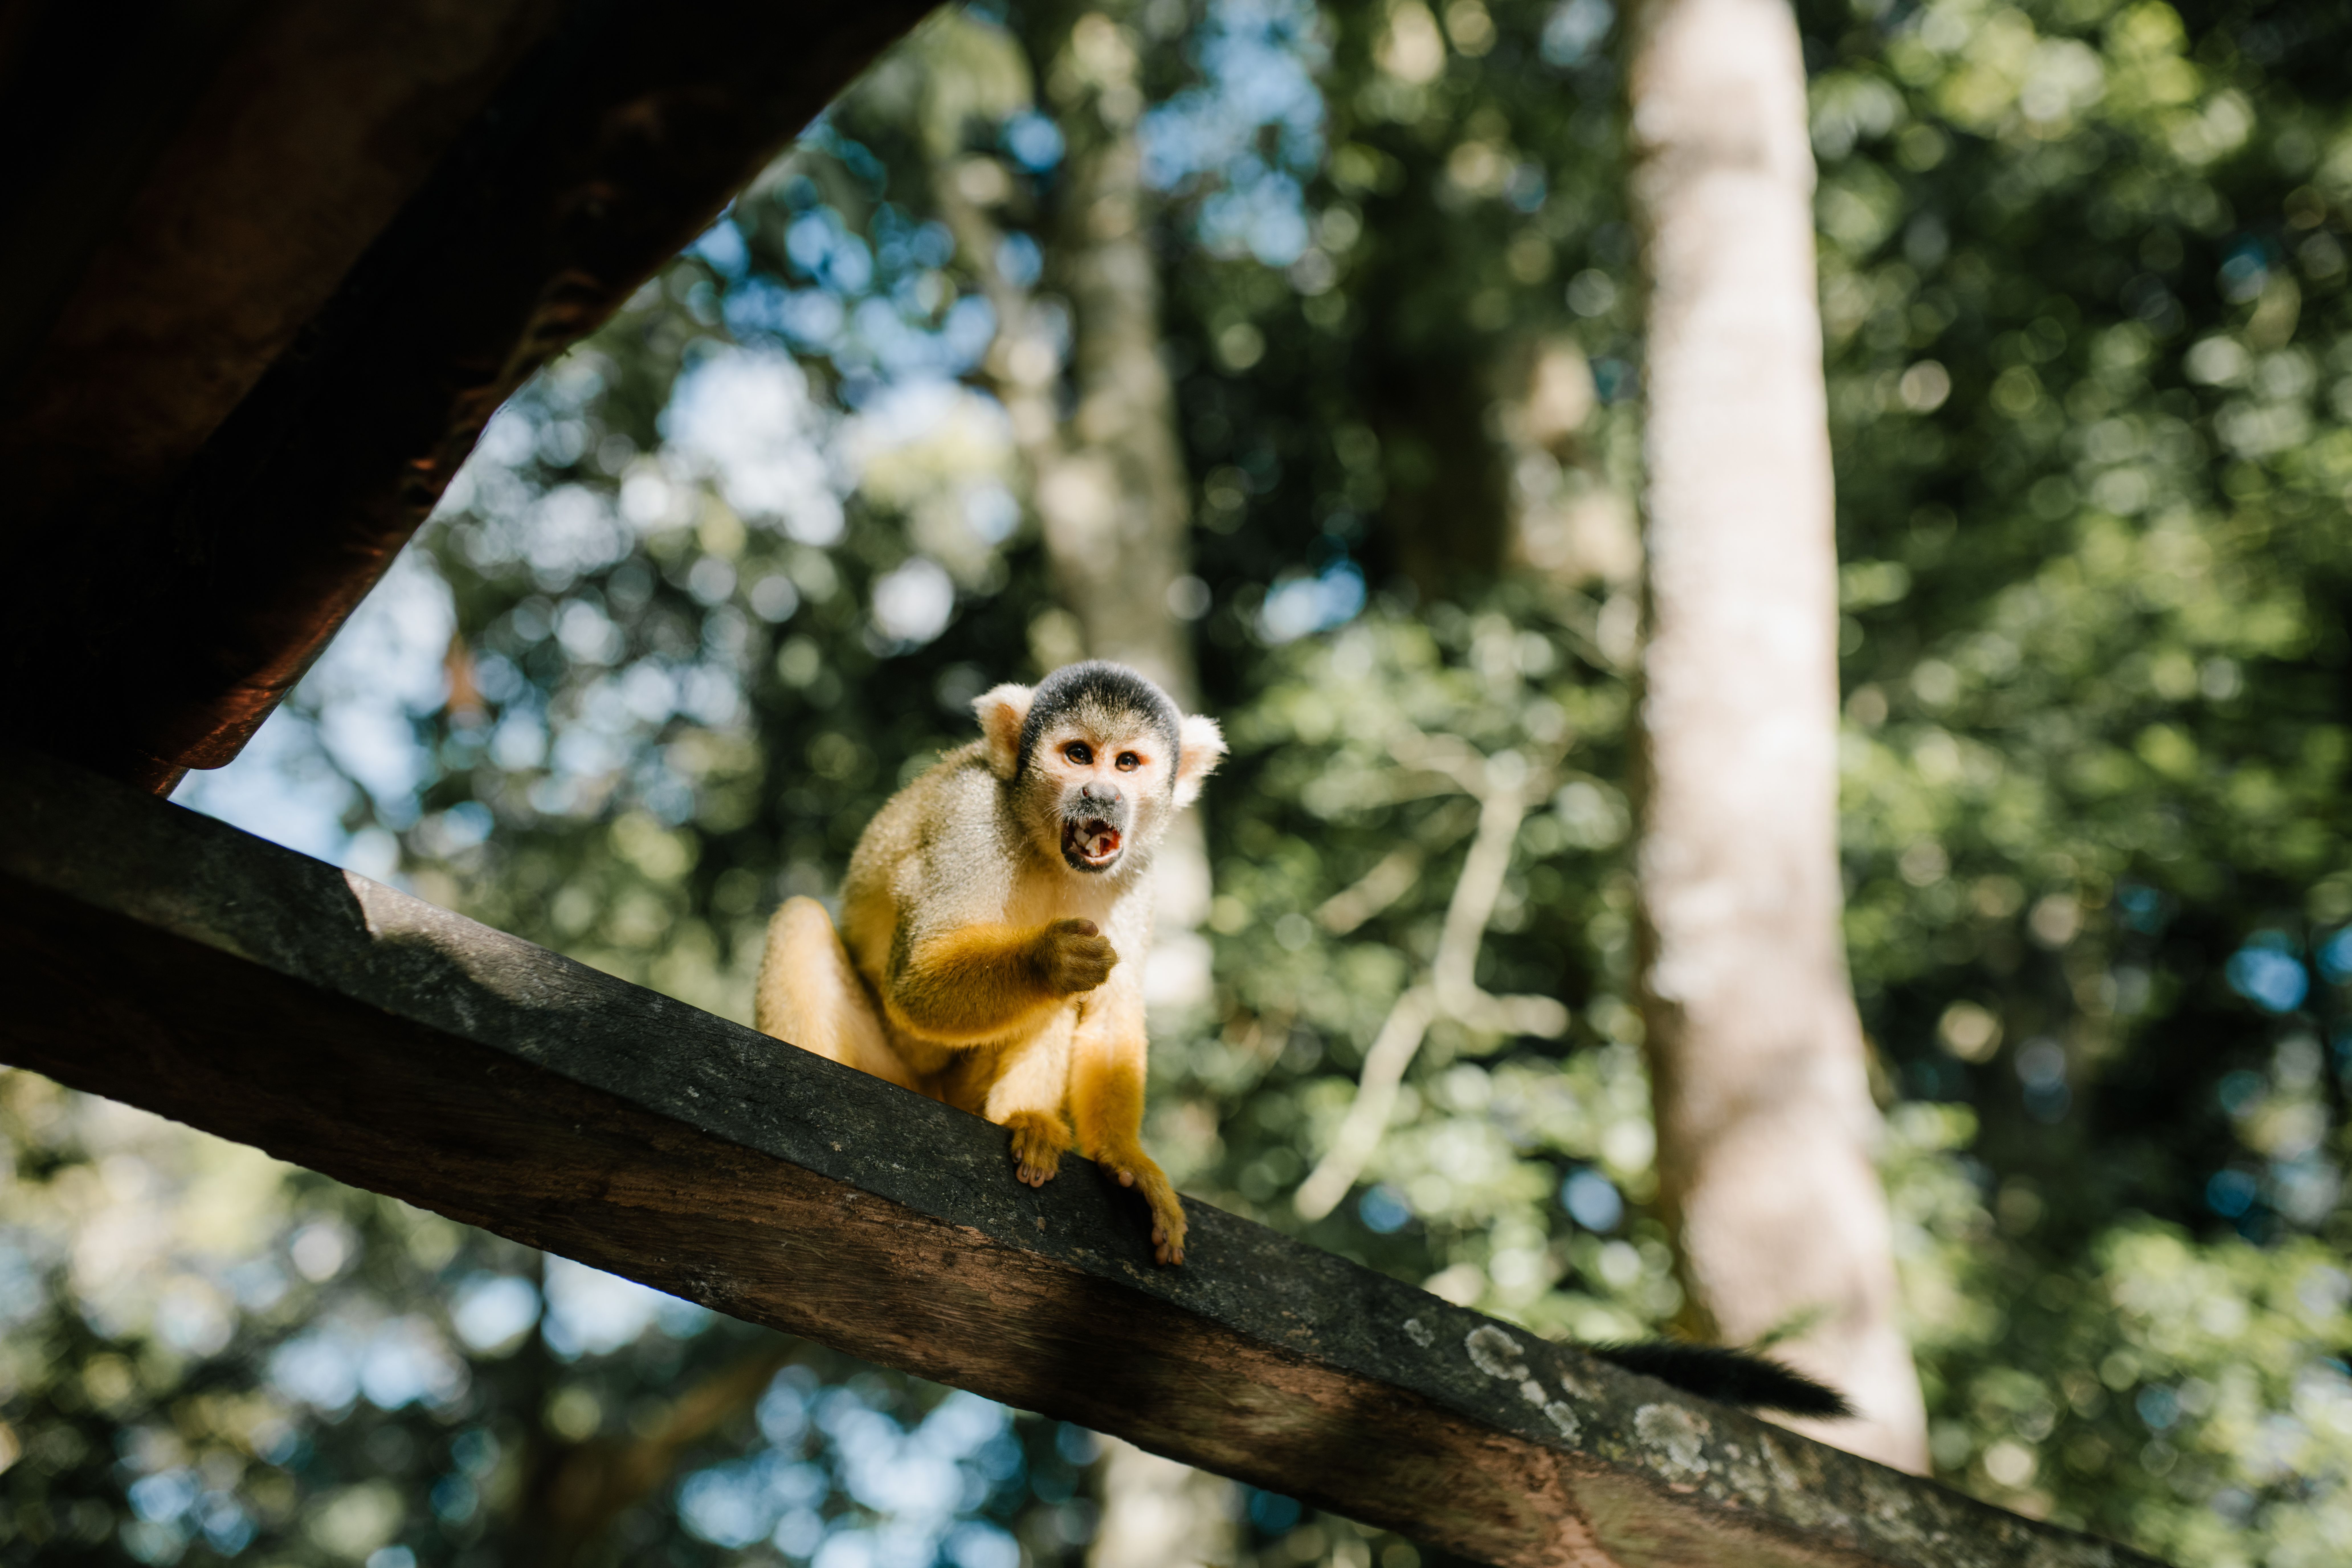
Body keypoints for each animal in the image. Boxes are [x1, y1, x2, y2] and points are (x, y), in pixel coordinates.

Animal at [755, 660, 1222, 1265]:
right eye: (1078, 754)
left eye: (1126, 763)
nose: (1100, 793)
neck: (1049, 848)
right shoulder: (970, 814)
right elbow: (917, 979)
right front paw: (1046, 960)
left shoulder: (1136, 871)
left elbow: (1110, 1007)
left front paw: (1126, 1159)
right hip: (890, 1070)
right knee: (802, 920)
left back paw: (1026, 1119)